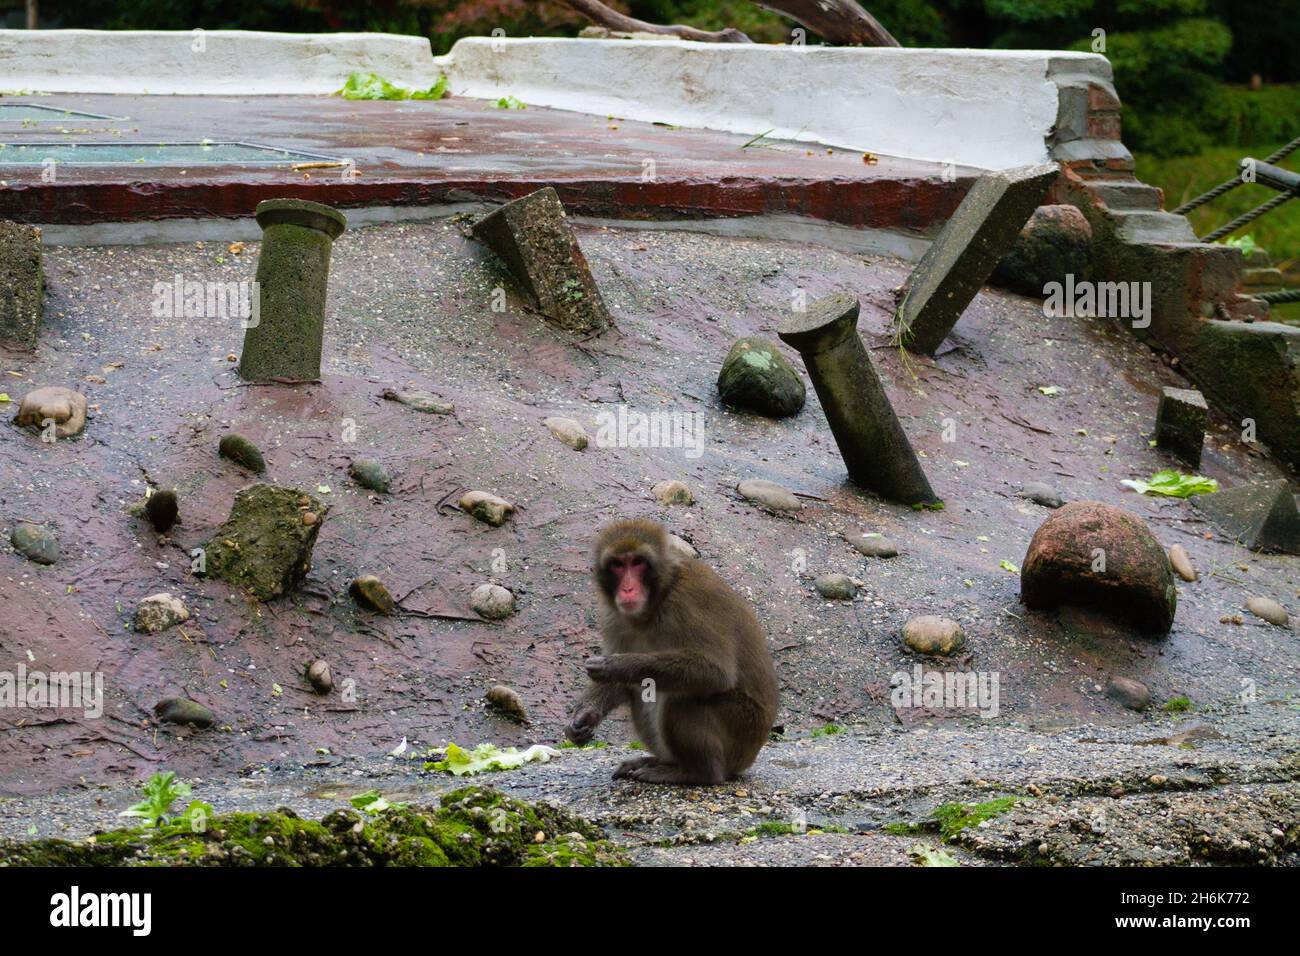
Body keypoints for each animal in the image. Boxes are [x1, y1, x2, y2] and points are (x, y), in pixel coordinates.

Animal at [565, 518, 778, 785]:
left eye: (638, 562)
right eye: (617, 564)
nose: (627, 589)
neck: (657, 601)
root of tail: (749, 758)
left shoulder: (689, 601)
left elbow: (715, 671)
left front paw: (615, 666)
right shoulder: (612, 616)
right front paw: (584, 717)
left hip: (741, 731)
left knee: (683, 696)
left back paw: (695, 773)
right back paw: (661, 761)